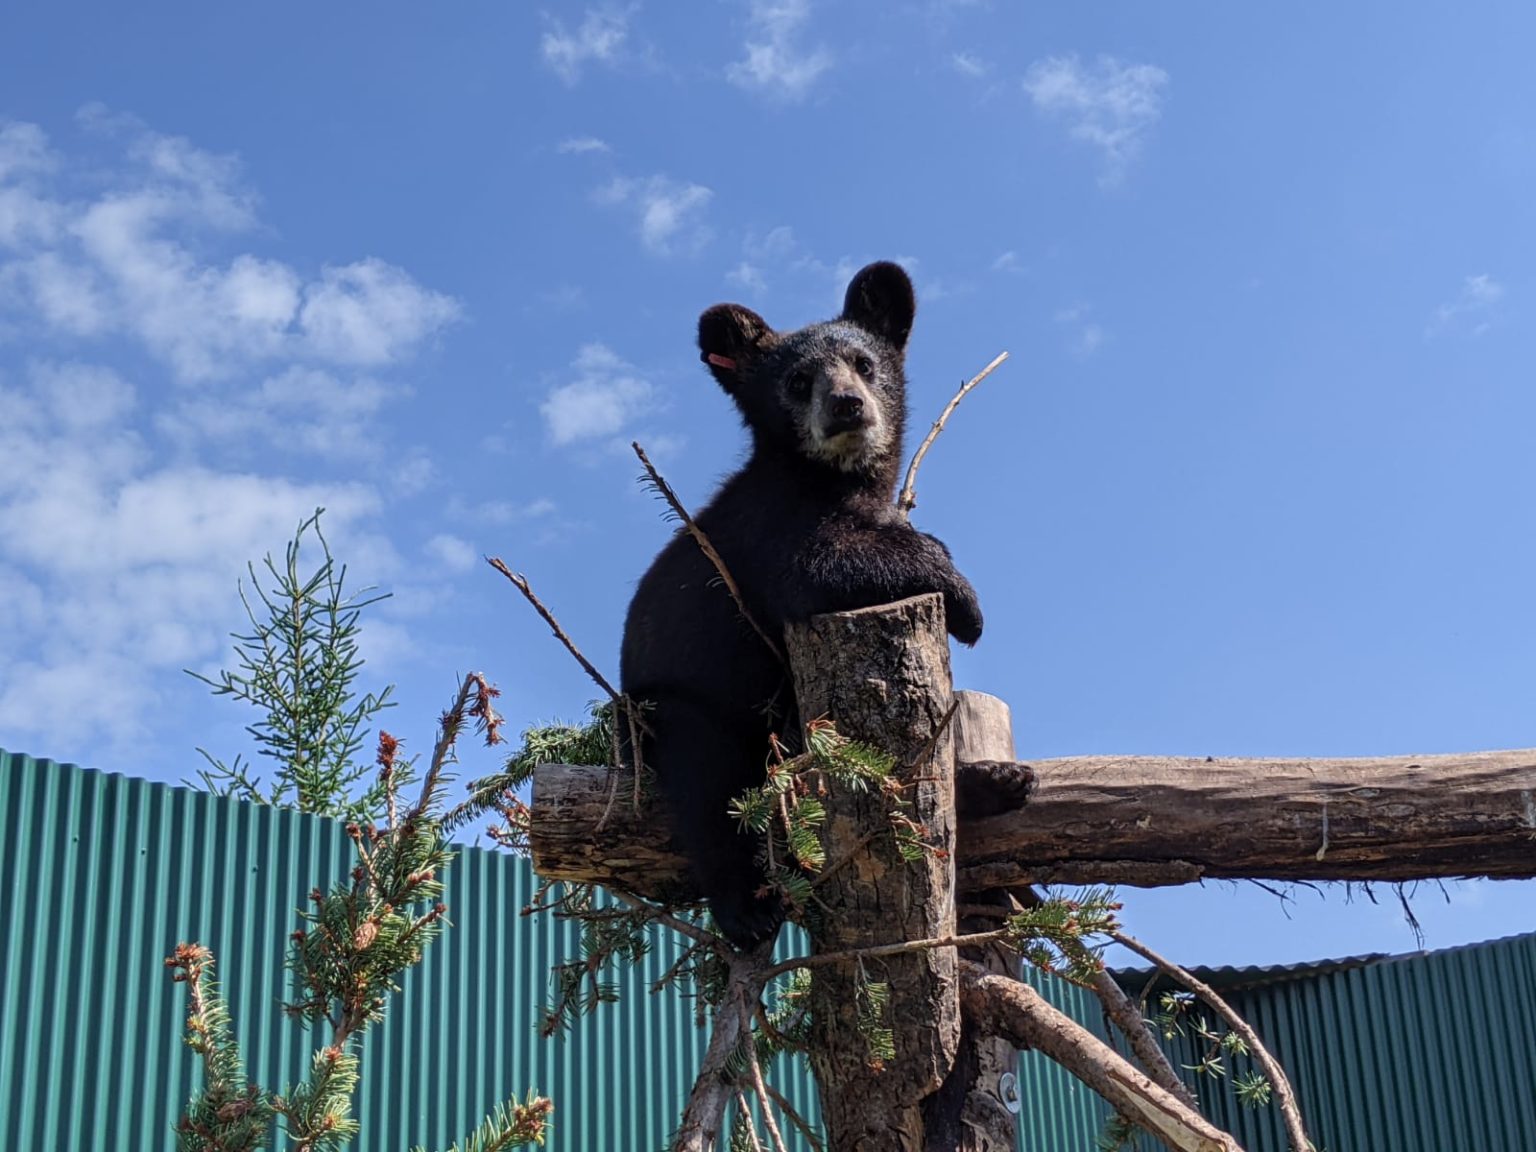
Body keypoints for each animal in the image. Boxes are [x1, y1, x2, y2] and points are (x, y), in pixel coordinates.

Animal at [620, 261, 988, 949]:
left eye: (864, 364)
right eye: (797, 381)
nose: (847, 405)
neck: (832, 480)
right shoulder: (770, 532)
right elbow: (820, 567)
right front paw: (965, 600)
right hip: (679, 710)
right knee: (706, 788)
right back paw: (745, 909)